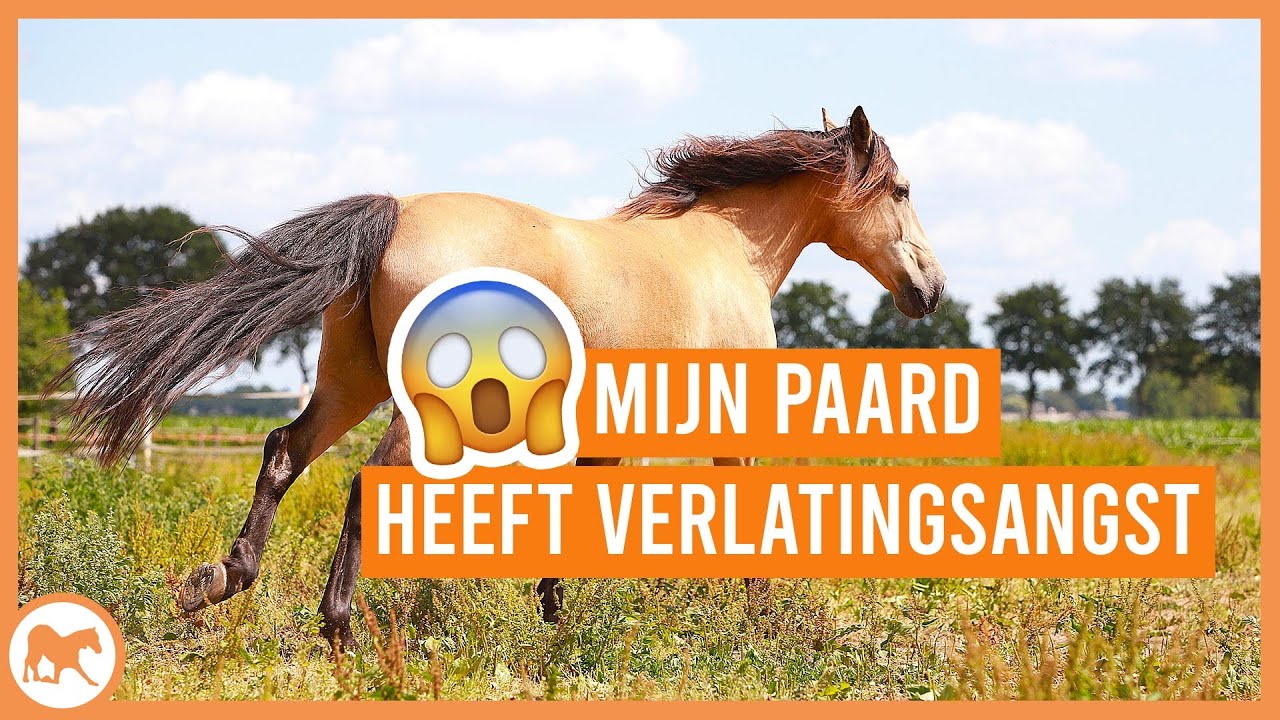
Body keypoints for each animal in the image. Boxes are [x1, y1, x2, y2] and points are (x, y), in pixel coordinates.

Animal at [50, 106, 945, 648]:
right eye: (901, 189)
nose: (931, 291)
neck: (729, 252)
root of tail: (394, 215)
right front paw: (764, 626)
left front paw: (556, 626)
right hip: (418, 405)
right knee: (364, 481)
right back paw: (341, 633)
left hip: (351, 380)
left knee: (282, 453)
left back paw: (213, 585)